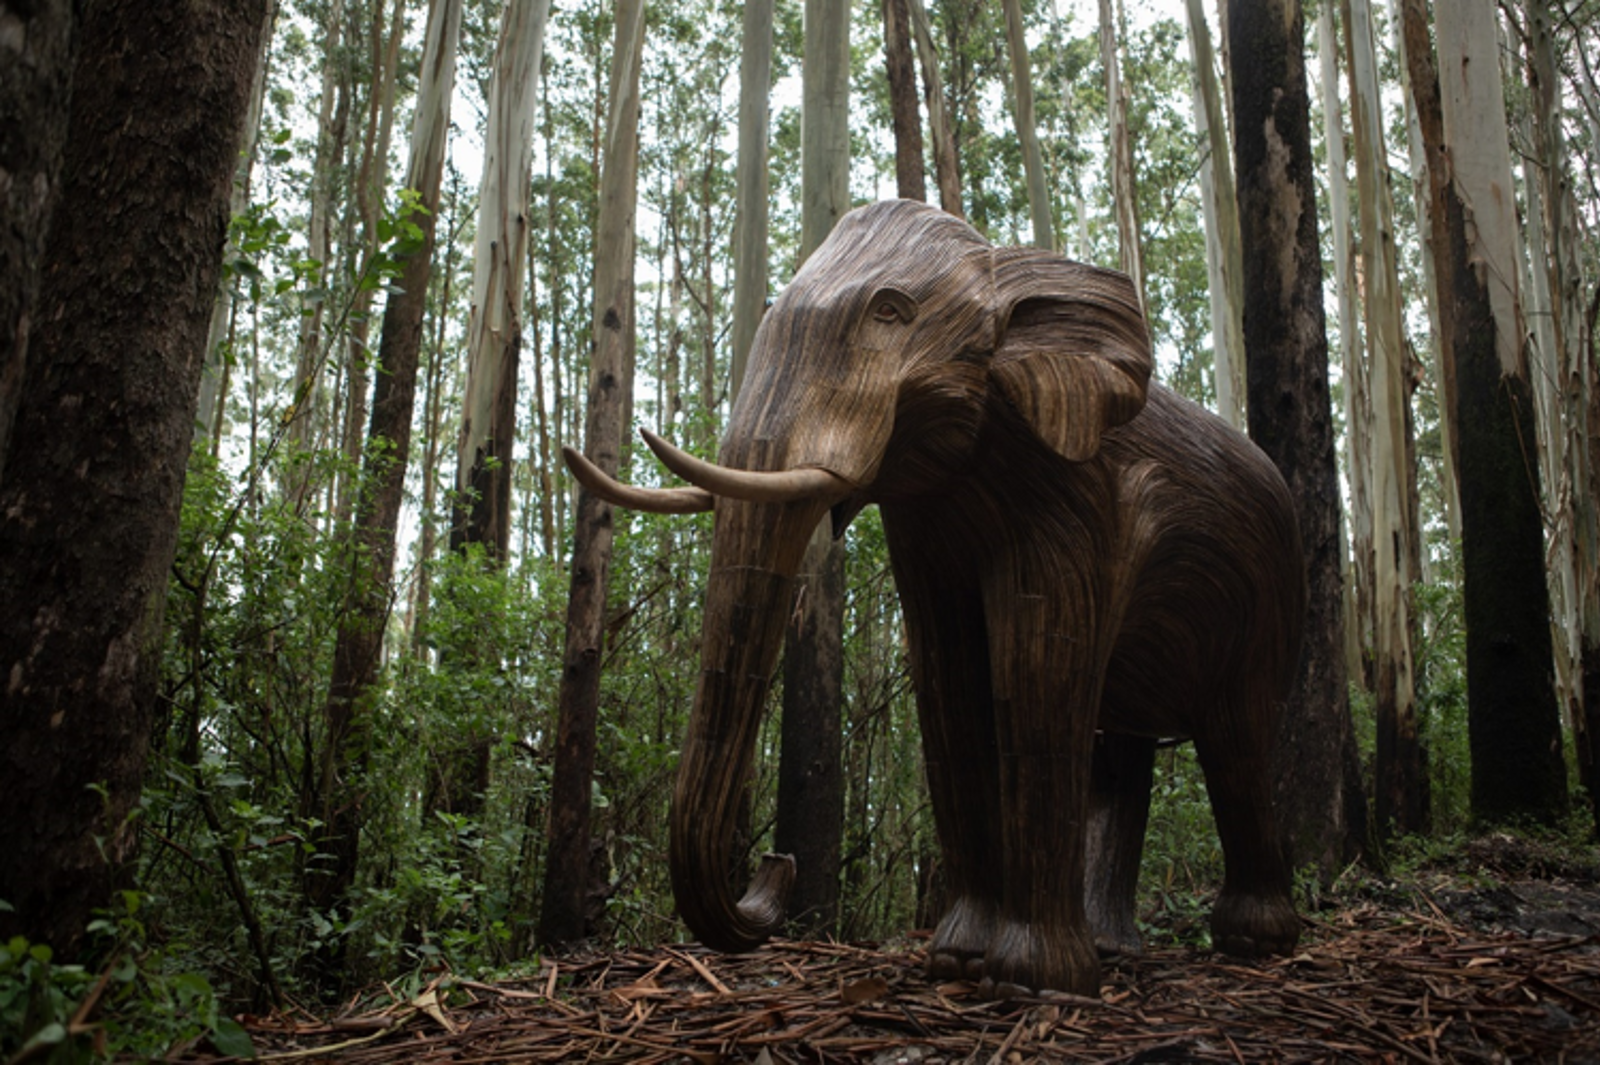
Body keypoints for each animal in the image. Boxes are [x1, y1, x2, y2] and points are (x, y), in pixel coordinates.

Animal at [566, 199, 1304, 998]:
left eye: (890, 310)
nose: (777, 865)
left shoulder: (1079, 497)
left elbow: (1038, 674)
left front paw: (1031, 981)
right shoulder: (927, 525)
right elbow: (948, 681)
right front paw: (956, 960)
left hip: (1266, 597)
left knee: (1237, 737)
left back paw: (1254, 944)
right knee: (1125, 756)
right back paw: (1115, 950)